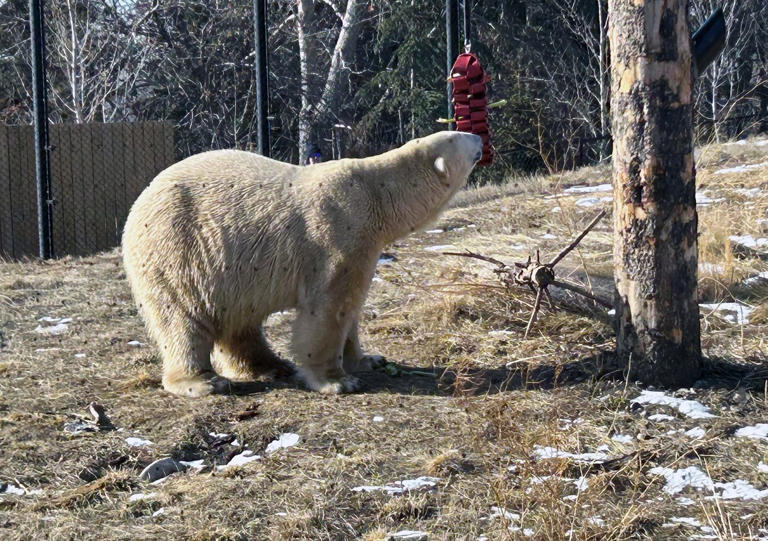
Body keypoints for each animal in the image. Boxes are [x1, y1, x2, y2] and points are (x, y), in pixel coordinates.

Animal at [122, 131, 483, 397]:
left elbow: (352, 308)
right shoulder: (337, 232)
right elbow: (328, 309)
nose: (479, 136)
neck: (377, 192)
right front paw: (338, 381)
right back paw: (203, 382)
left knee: (238, 320)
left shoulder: (366, 246)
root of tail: (138, 204)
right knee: (182, 319)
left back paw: (268, 364)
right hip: (178, 252)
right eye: (459, 134)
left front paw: (368, 359)